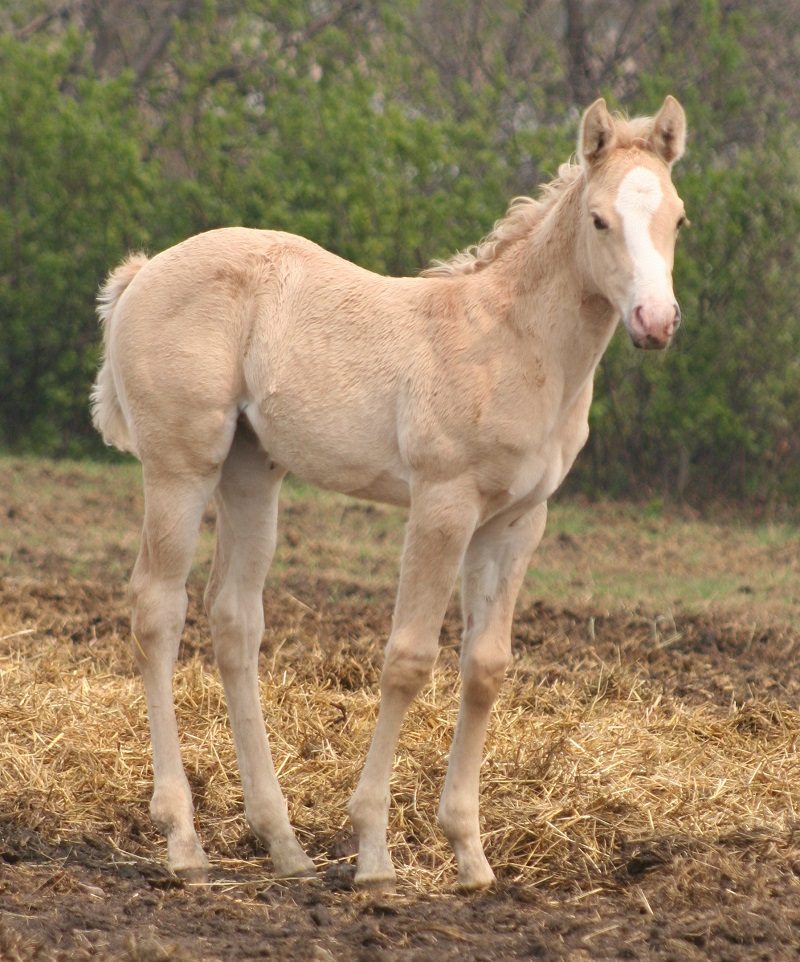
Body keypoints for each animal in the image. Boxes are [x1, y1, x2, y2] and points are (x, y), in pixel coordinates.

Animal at [92, 96, 687, 890]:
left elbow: (485, 669)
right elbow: (407, 660)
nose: (656, 322)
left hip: (251, 469)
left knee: (234, 620)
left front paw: (470, 856)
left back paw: (284, 845)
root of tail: (143, 274)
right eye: (598, 219)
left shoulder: (517, 521)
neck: (515, 344)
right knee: (157, 609)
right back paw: (184, 843)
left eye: (678, 217)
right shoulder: (443, 505)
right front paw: (374, 854)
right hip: (180, 467)